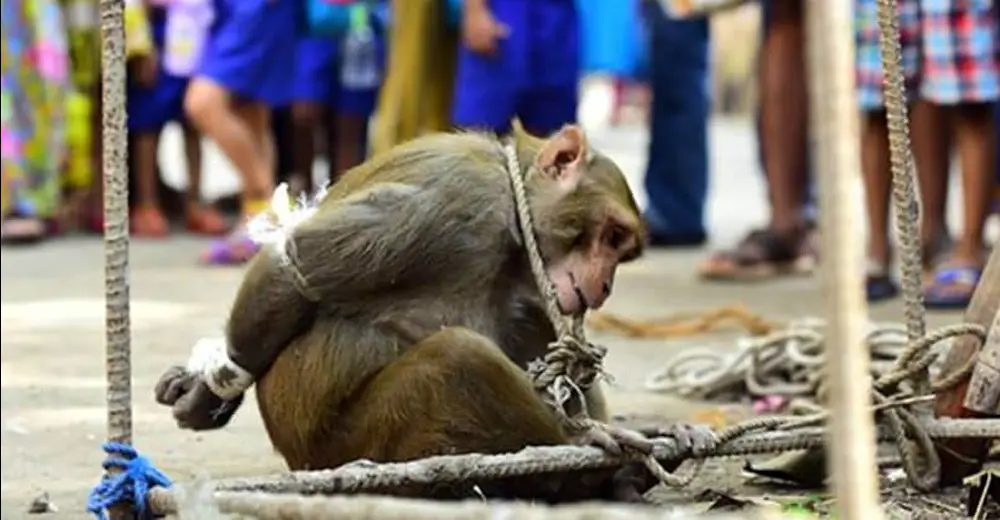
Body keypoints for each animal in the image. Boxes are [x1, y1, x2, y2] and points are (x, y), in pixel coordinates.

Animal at [155, 124, 717, 502]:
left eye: (623, 251)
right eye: (612, 235)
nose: (603, 285)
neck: (513, 217)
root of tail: (299, 461)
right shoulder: (458, 199)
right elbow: (291, 264)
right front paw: (211, 388)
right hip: (358, 446)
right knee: (458, 358)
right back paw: (589, 465)